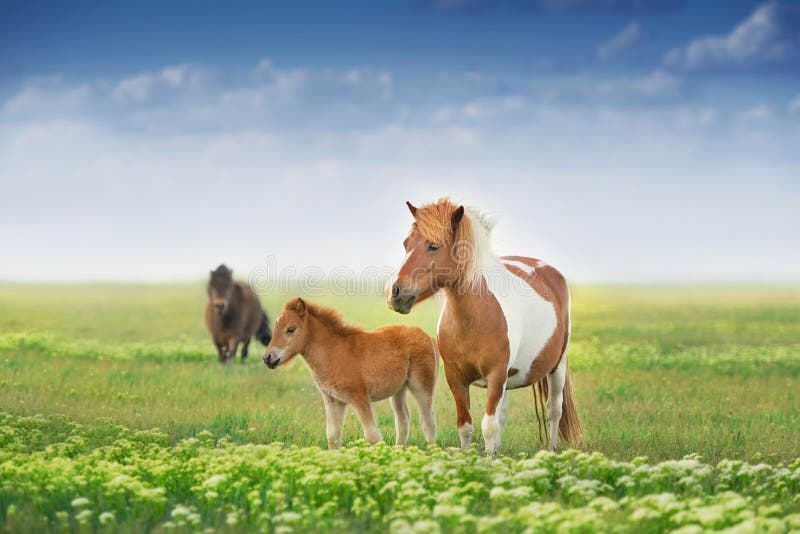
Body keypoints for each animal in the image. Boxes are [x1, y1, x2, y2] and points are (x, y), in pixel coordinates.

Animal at [263, 297, 438, 449]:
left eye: (291, 329)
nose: (267, 358)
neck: (334, 352)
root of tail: (427, 336)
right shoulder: (333, 399)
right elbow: (333, 436)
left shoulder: (359, 397)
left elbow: (372, 435)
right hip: (398, 390)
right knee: (403, 421)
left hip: (420, 385)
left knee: (427, 421)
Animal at [387, 198, 581, 453]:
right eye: (406, 244)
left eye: (433, 246)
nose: (396, 293)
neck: (473, 320)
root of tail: (547, 270)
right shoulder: (456, 378)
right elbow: (466, 425)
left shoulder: (496, 375)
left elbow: (488, 426)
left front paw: (488, 460)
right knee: (504, 415)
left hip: (556, 367)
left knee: (554, 410)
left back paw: (551, 450)